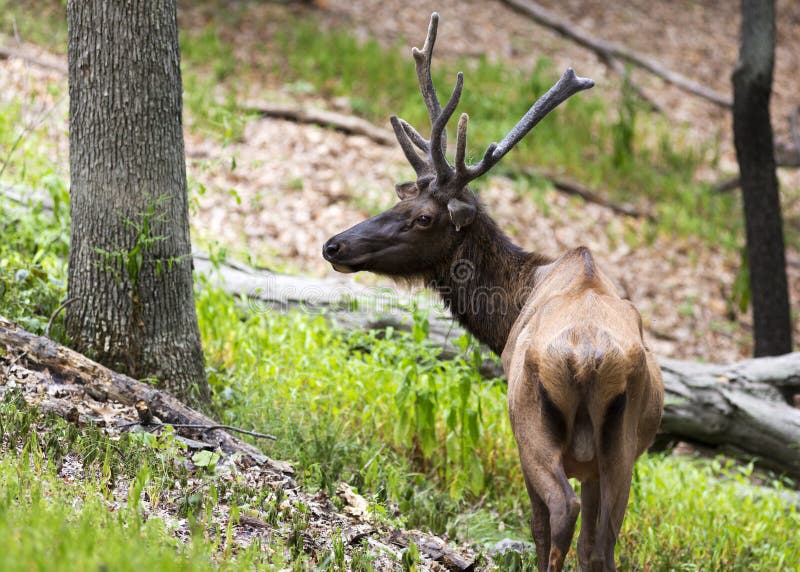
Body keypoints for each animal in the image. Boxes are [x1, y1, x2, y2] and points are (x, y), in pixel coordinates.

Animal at [322, 13, 664, 572]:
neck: (508, 314)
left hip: (530, 422)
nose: (334, 244)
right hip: (622, 446)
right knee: (604, 542)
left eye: (424, 217)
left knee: (558, 513)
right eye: (400, 201)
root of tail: (589, 359)